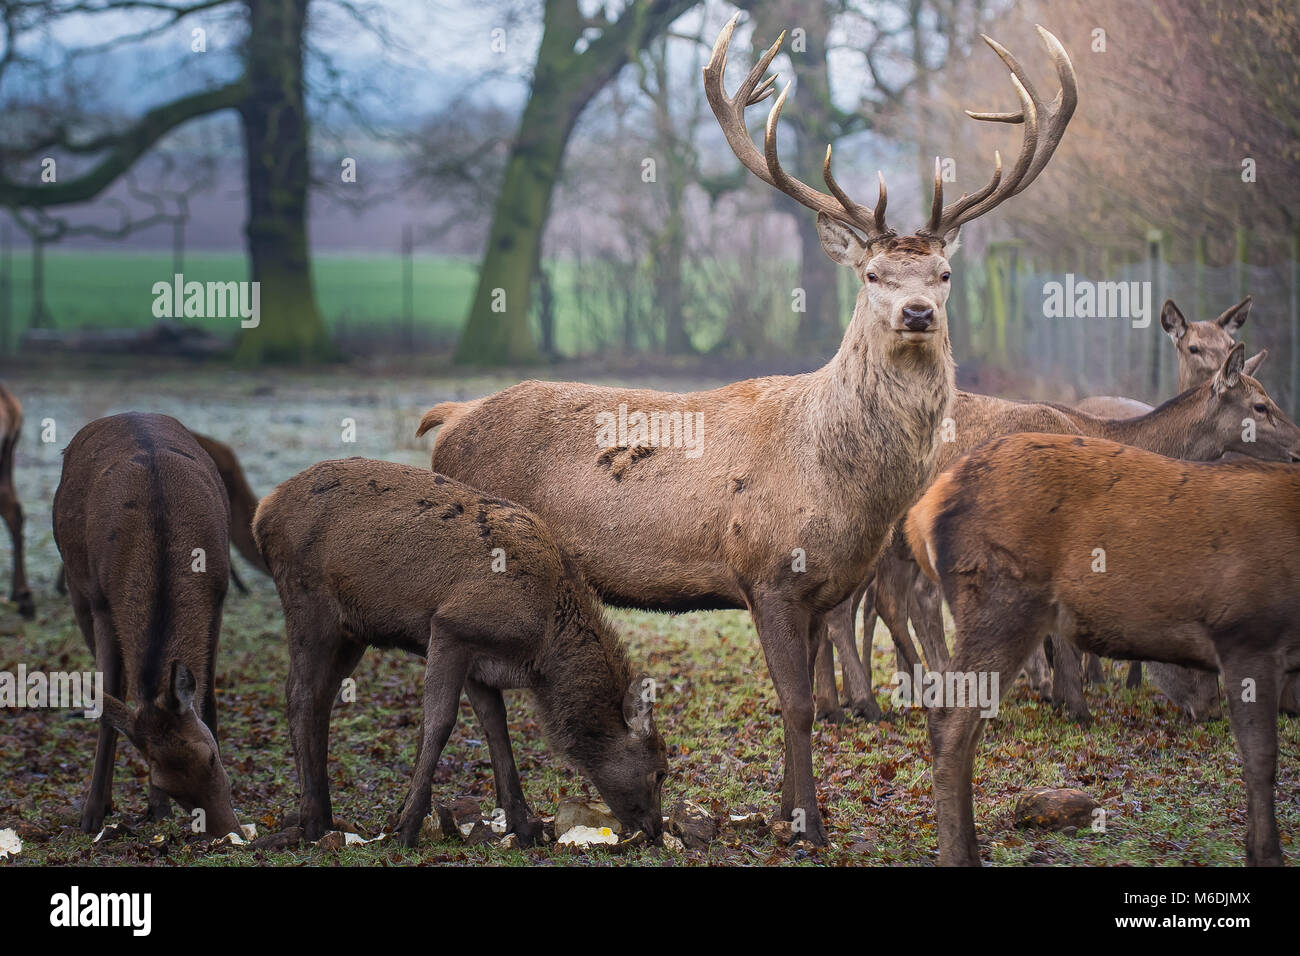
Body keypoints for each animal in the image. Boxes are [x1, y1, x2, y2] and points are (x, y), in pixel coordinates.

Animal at [52, 413, 242, 837]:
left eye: (211, 757)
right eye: (165, 783)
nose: (227, 832)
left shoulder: (218, 597)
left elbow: (209, 698)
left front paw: (154, 809)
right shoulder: (103, 603)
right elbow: (109, 698)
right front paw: (95, 812)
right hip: (76, 585)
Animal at [252, 458, 668, 846]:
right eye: (660, 771)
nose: (655, 832)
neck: (543, 647)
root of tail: (262, 512)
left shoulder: (480, 664)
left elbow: (495, 726)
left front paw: (523, 825)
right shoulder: (452, 627)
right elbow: (439, 723)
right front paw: (406, 827)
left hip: (351, 631)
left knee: (320, 698)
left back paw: (323, 816)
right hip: (308, 603)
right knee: (300, 695)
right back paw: (312, 820)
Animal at [414, 15, 1076, 844]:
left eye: (944, 275)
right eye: (872, 276)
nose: (918, 313)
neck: (841, 482)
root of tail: (449, 423)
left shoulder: (825, 588)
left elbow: (815, 698)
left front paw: (787, 812)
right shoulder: (765, 570)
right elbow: (795, 703)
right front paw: (809, 825)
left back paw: (520, 814)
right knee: (481, 688)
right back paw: (516, 811)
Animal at [906, 426, 1300, 866]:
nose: (1208, 710)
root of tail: (921, 511)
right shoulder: (1248, 635)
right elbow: (1261, 759)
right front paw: (1266, 854)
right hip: (1000, 604)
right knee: (949, 720)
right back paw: (958, 855)